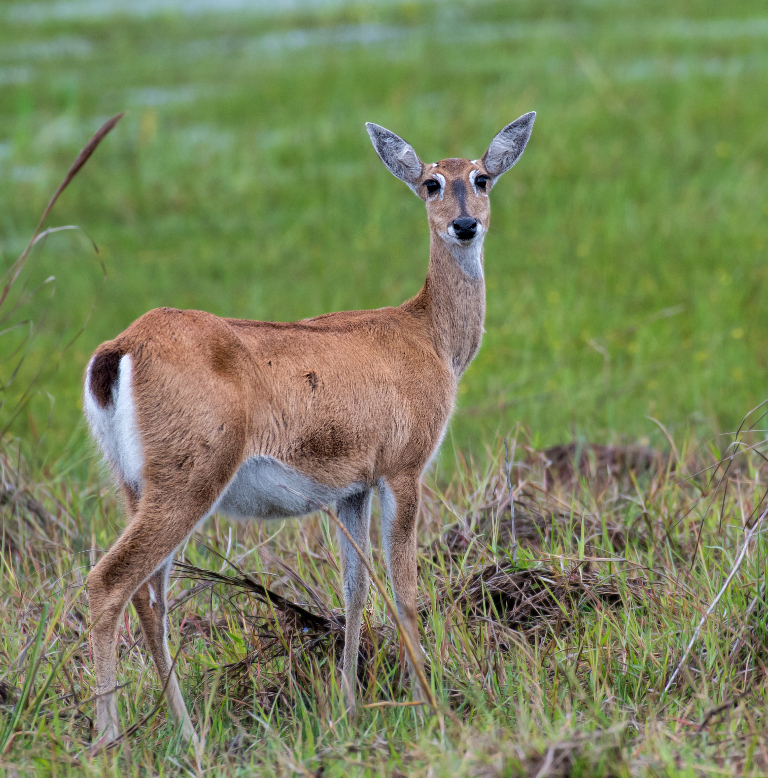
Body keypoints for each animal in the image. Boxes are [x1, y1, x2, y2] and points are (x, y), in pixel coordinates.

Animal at [83, 112, 536, 745]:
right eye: (431, 183)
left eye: (482, 178)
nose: (465, 225)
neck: (431, 338)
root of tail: (117, 352)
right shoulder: (404, 465)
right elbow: (405, 590)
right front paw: (429, 707)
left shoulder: (352, 487)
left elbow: (356, 588)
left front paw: (348, 705)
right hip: (189, 476)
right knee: (109, 583)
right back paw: (109, 741)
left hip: (133, 483)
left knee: (150, 596)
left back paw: (187, 733)